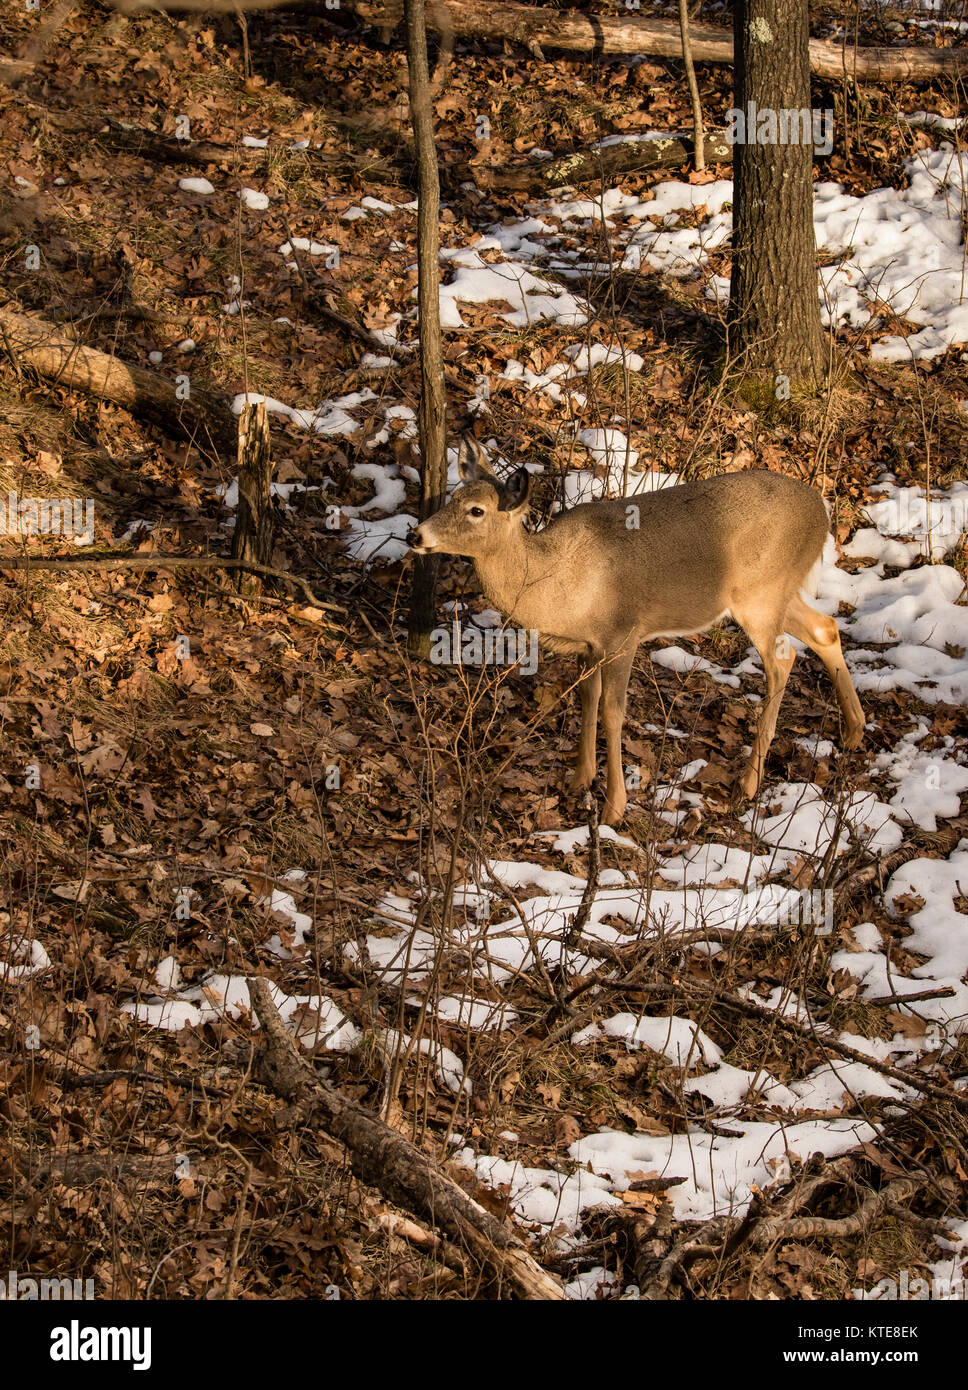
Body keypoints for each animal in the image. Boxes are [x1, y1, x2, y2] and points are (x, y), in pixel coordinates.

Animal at [409, 437, 866, 826]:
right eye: (452, 497)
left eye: (476, 511)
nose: (416, 533)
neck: (559, 583)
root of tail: (822, 510)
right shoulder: (590, 645)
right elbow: (587, 697)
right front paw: (579, 779)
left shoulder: (622, 633)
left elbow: (614, 712)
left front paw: (613, 808)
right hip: (775, 594)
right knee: (825, 628)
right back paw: (854, 732)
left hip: (761, 594)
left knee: (783, 660)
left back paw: (749, 783)